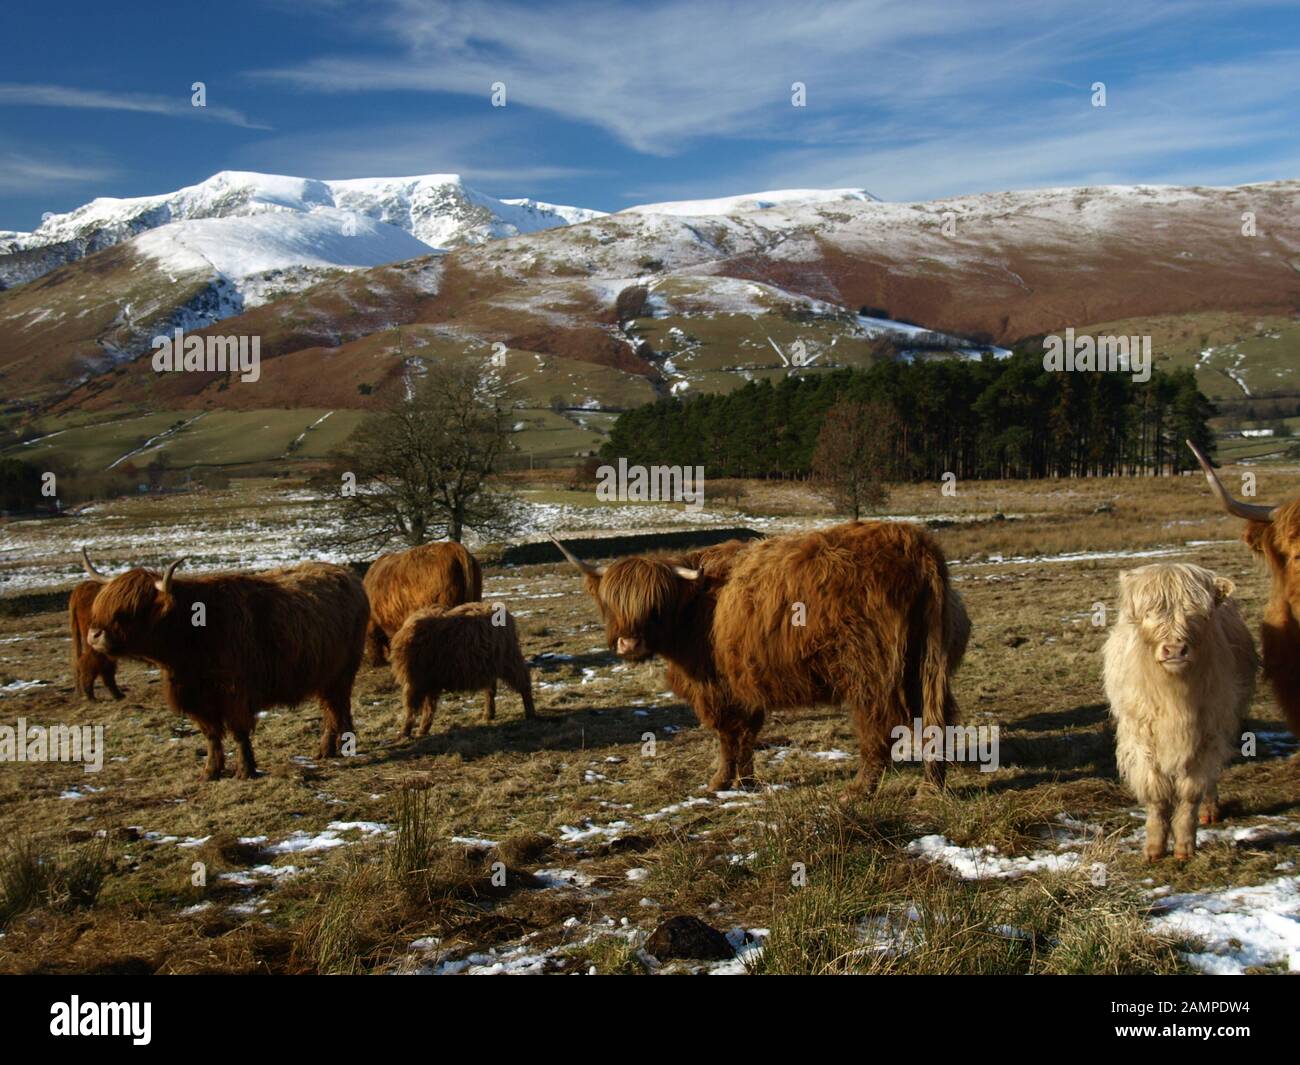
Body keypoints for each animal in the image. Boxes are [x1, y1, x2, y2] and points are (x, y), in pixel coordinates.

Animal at [84, 554, 369, 781]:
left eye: (130, 610)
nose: (94, 635)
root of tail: (349, 576)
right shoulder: (198, 698)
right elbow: (211, 735)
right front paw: (210, 771)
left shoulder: (236, 693)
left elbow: (239, 732)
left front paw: (245, 770)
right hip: (325, 675)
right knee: (332, 710)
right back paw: (328, 750)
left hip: (342, 673)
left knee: (338, 708)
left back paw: (339, 746)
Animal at [389, 601, 536, 739]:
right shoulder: (429, 680)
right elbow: (428, 707)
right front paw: (422, 731)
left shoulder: (416, 680)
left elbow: (411, 708)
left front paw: (405, 733)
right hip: (489, 666)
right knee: (491, 690)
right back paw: (488, 715)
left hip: (509, 660)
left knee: (524, 683)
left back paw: (530, 714)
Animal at [552, 521, 970, 797]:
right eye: (612, 602)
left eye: (654, 604)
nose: (628, 644)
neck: (696, 606)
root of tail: (915, 543)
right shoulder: (743, 684)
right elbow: (747, 734)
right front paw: (746, 781)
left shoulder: (715, 686)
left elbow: (726, 735)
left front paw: (720, 782)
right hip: (925, 666)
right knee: (935, 719)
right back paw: (933, 786)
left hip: (871, 673)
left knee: (878, 726)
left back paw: (858, 790)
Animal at [1102, 563, 1256, 861]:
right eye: (1149, 611)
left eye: (1195, 612)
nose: (1174, 649)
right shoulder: (1141, 738)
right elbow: (1157, 795)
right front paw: (1154, 848)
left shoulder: (1208, 733)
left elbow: (1191, 793)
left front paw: (1185, 847)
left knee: (1210, 779)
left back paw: (1210, 811)